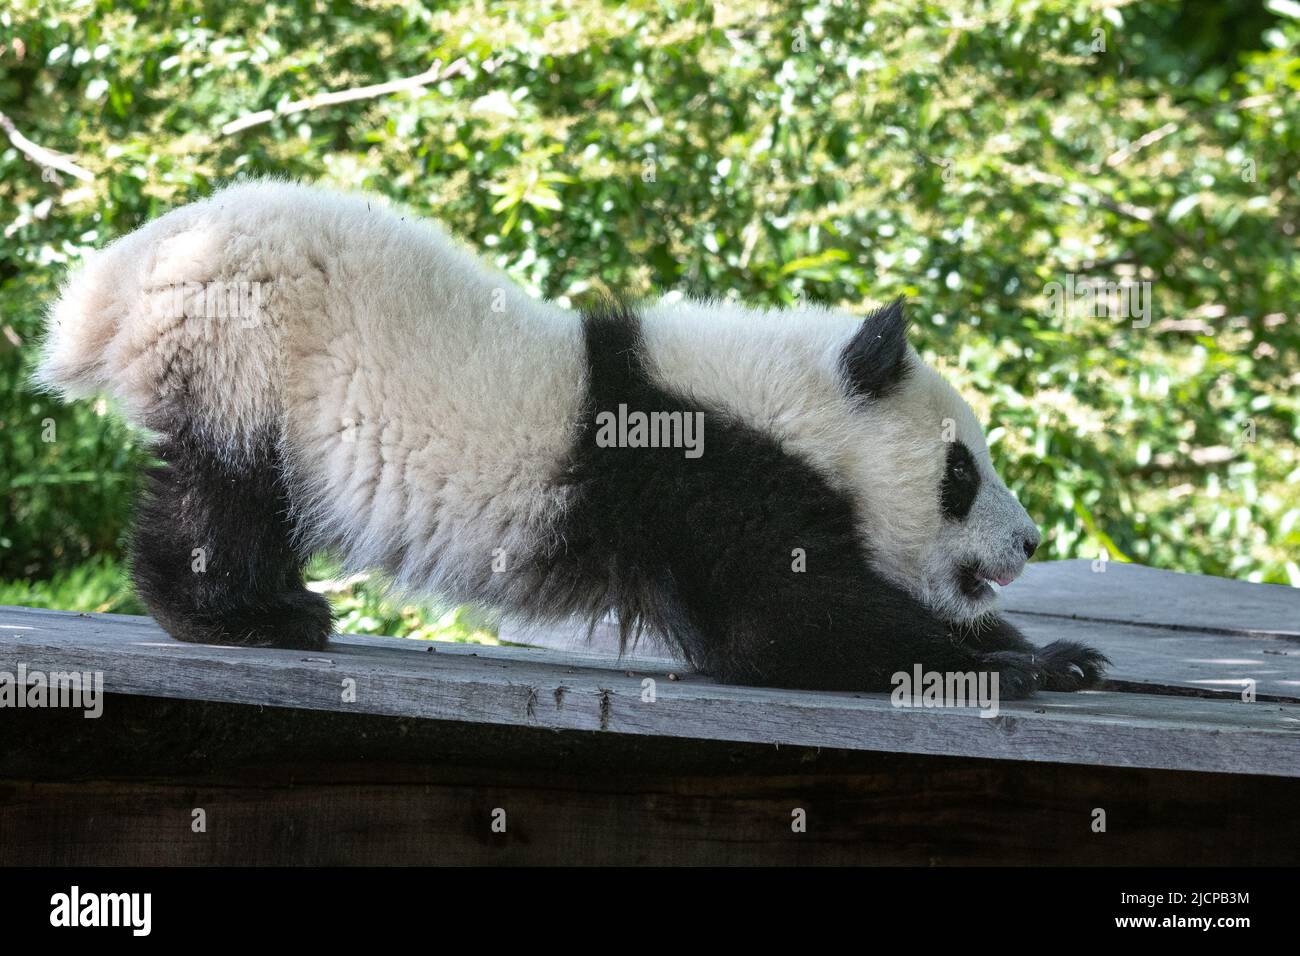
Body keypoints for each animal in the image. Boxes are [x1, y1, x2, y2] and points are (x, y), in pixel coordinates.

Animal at [36, 180, 1107, 699]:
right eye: (962, 472)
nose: (1027, 542)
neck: (794, 404)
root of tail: (117, 282)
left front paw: (1056, 652)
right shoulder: (706, 474)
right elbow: (781, 625)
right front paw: (1008, 669)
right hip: (249, 349)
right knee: (223, 491)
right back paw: (250, 616)